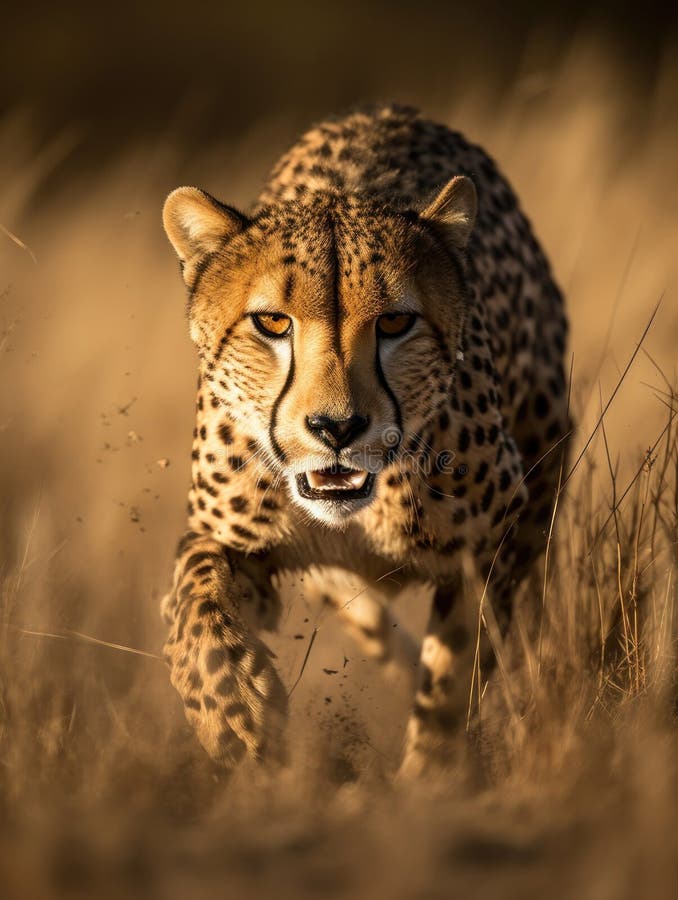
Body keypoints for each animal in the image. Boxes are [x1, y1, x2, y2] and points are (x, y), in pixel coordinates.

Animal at [160, 104, 570, 778]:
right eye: (271, 322)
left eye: (396, 322)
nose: (336, 428)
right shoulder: (226, 535)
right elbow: (197, 597)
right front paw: (237, 716)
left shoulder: (490, 540)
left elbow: (455, 669)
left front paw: (431, 779)